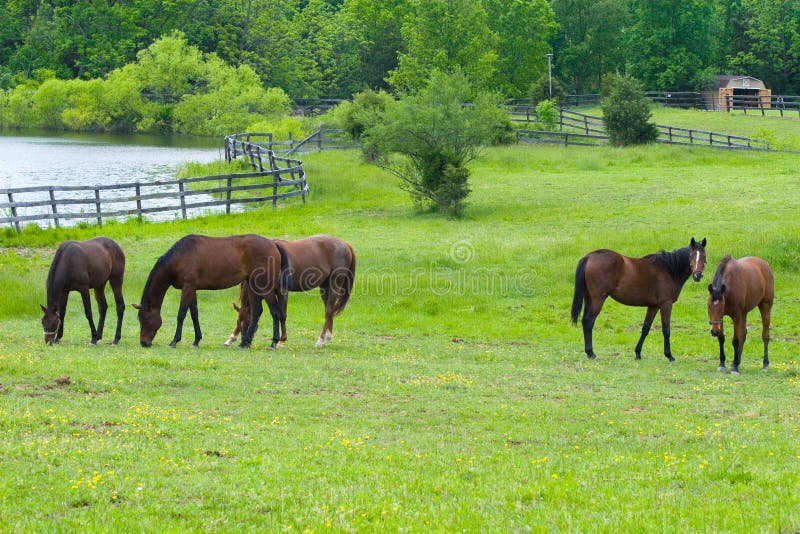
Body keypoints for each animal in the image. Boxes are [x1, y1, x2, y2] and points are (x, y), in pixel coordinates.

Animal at [133, 234, 289, 349]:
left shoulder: (187, 287)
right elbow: (194, 314)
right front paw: (196, 340)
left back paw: (273, 342)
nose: (144, 343)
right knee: (256, 312)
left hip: (264, 287)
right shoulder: (192, 289)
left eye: (146, 319)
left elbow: (181, 314)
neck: (179, 257)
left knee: (274, 312)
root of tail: (273, 244)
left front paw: (174, 340)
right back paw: (244, 343)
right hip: (252, 286)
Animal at [224, 234, 356, 348]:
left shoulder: (282, 292)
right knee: (330, 311)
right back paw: (325, 340)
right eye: (238, 322)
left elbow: (282, 314)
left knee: (329, 312)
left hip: (334, 284)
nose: (244, 341)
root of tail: (345, 244)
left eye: (248, 323)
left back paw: (321, 340)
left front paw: (281, 340)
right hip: (325, 287)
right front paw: (231, 338)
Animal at [571, 237, 707, 361]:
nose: (697, 276)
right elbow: (666, 329)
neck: (669, 269)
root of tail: (589, 256)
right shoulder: (666, 304)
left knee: (585, 321)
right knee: (589, 321)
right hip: (598, 299)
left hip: (589, 298)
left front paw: (637, 353)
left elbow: (645, 328)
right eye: (691, 256)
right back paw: (591, 353)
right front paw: (669, 355)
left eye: (704, 257)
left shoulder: (653, 306)